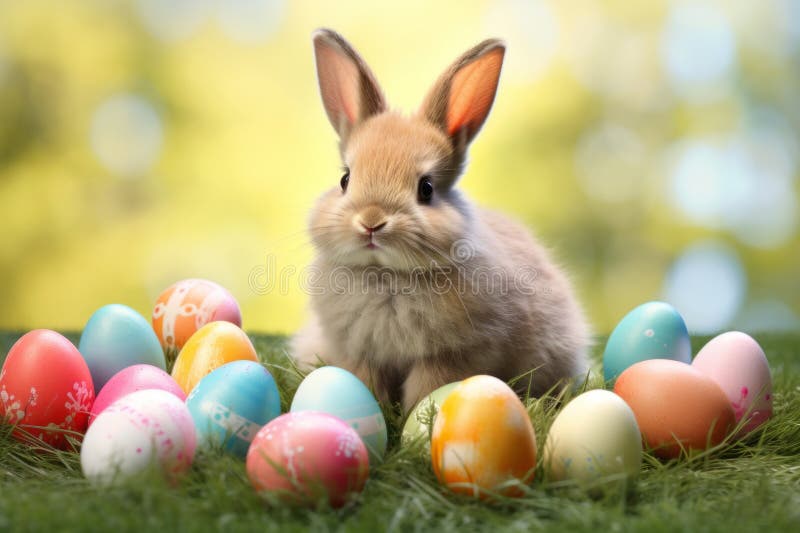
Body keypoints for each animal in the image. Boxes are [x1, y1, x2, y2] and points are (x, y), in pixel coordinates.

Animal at [291, 28, 591, 412]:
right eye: (345, 179)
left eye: (426, 188)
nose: (371, 221)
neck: (387, 275)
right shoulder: (359, 354)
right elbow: (366, 385)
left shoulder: (452, 356)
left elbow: (427, 390)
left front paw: (414, 419)